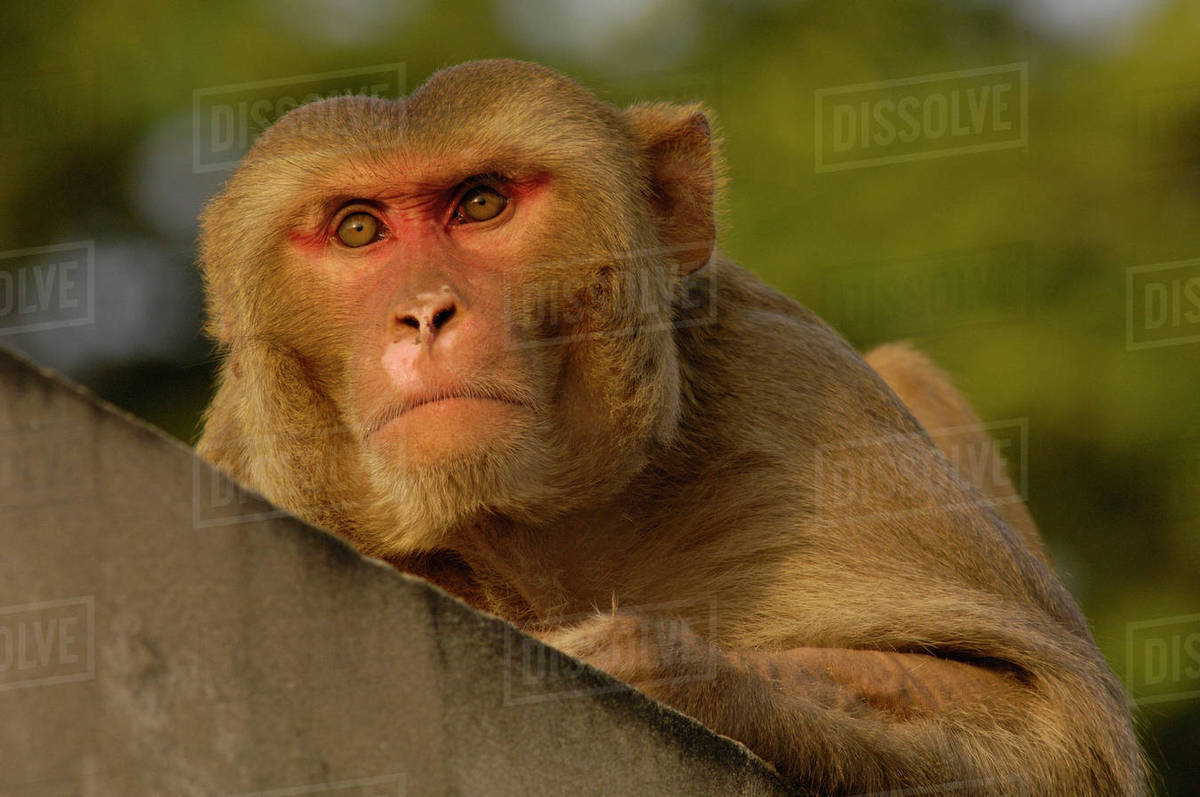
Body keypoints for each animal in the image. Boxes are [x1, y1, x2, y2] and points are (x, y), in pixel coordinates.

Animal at [195, 59, 1145, 794]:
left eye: (482, 203)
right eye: (359, 229)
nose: (425, 313)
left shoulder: (798, 390)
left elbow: (1050, 723)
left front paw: (642, 659)